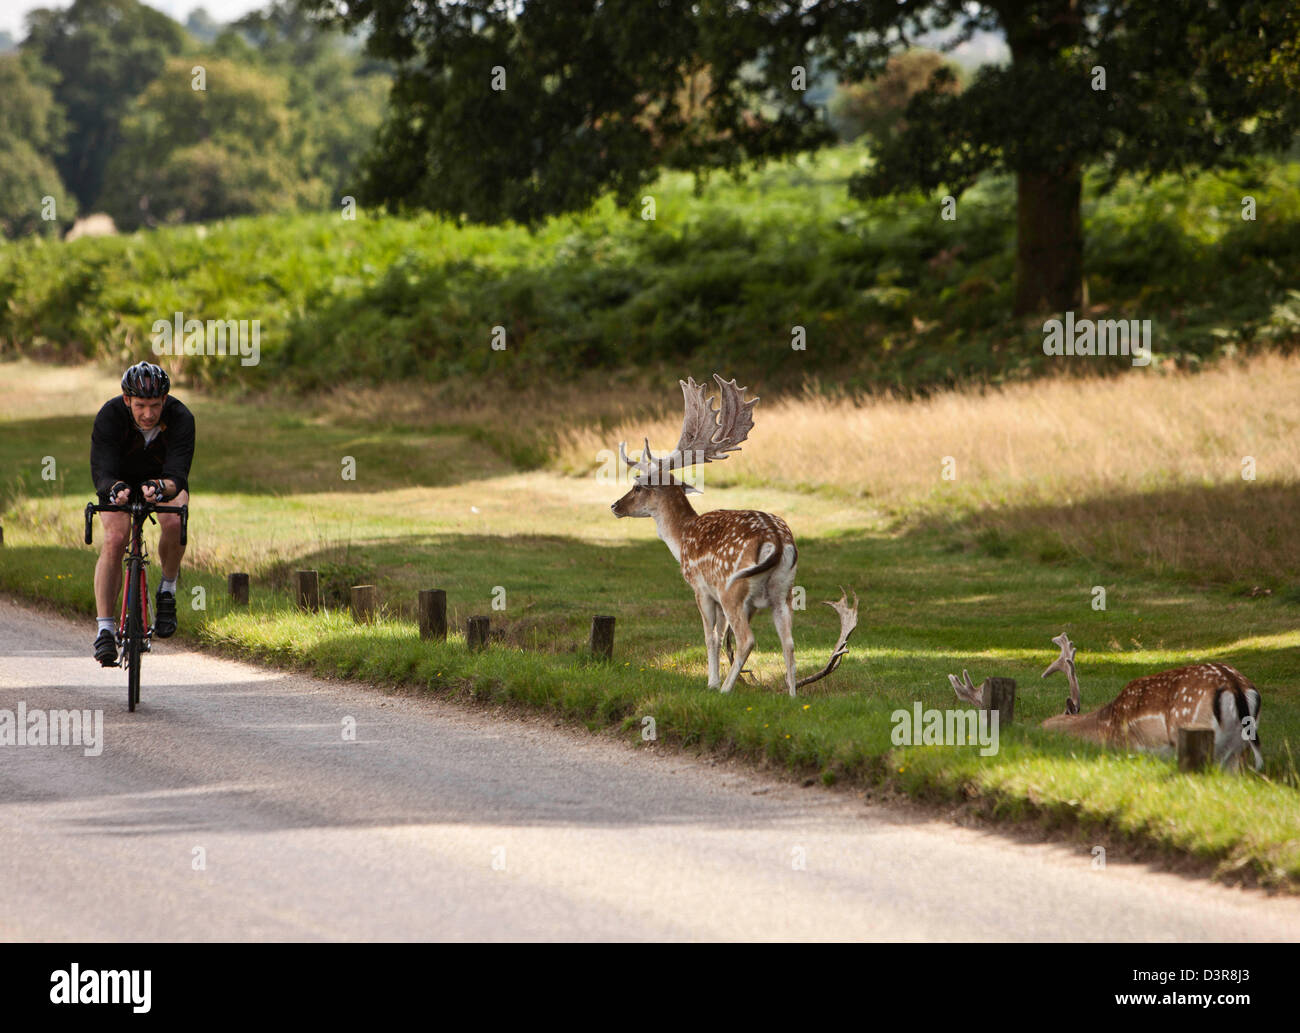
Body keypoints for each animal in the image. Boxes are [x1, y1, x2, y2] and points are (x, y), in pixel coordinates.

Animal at [610, 374, 858, 697]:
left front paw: (711, 682)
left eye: (638, 486)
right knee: (789, 642)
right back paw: (792, 695)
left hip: (733, 588)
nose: (615, 506)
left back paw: (727, 689)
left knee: (747, 639)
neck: (682, 537)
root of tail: (779, 541)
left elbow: (711, 636)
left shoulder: (701, 587)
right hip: (783, 590)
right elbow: (722, 636)